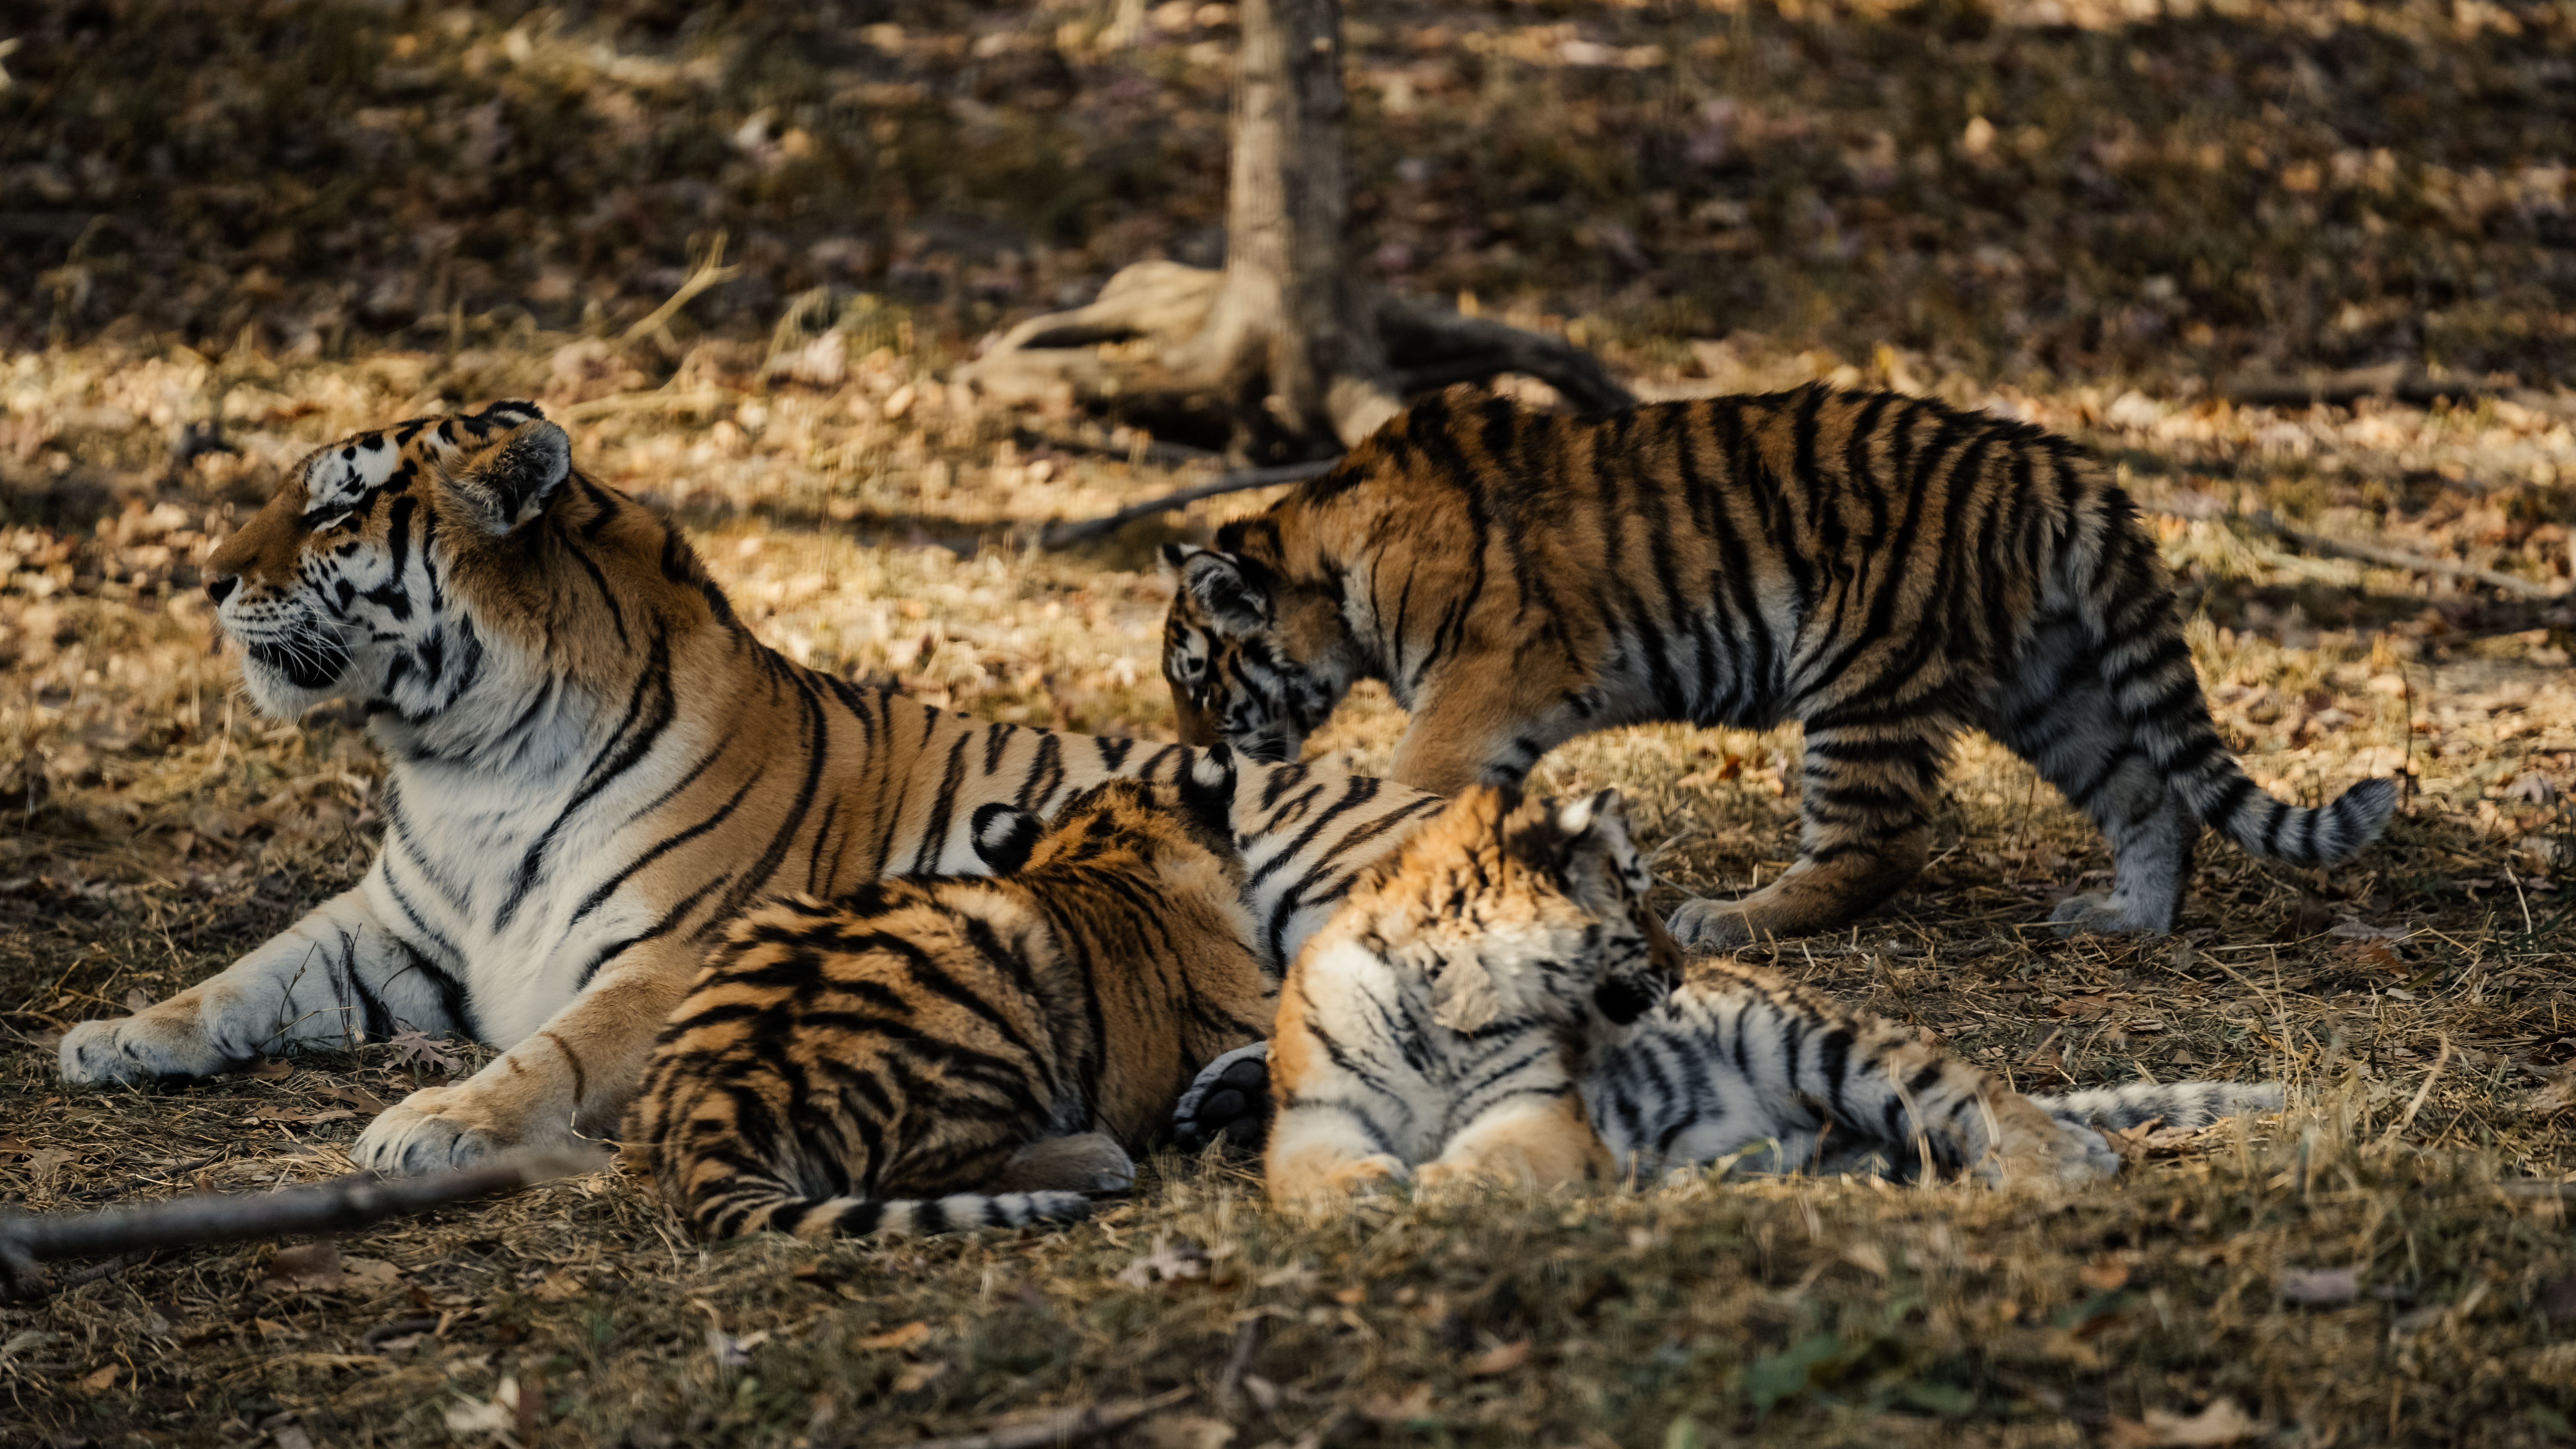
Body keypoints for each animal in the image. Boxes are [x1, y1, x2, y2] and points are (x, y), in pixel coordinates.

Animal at [56, 402, 1444, 1174]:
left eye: (335, 514)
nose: (204, 578)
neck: (464, 760)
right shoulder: (391, 928)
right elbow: (242, 976)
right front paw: (113, 1037)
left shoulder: (675, 954)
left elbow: (556, 1052)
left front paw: (435, 1117)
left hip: (1315, 873)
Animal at [1159, 383, 2399, 950]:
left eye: (1197, 678)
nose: (1193, 755)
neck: (1328, 562)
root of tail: (2050, 461)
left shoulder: (1477, 686)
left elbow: (1408, 789)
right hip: (2045, 683)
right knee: (2150, 793)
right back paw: (2122, 919)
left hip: (1861, 666)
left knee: (1879, 839)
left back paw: (1734, 918)